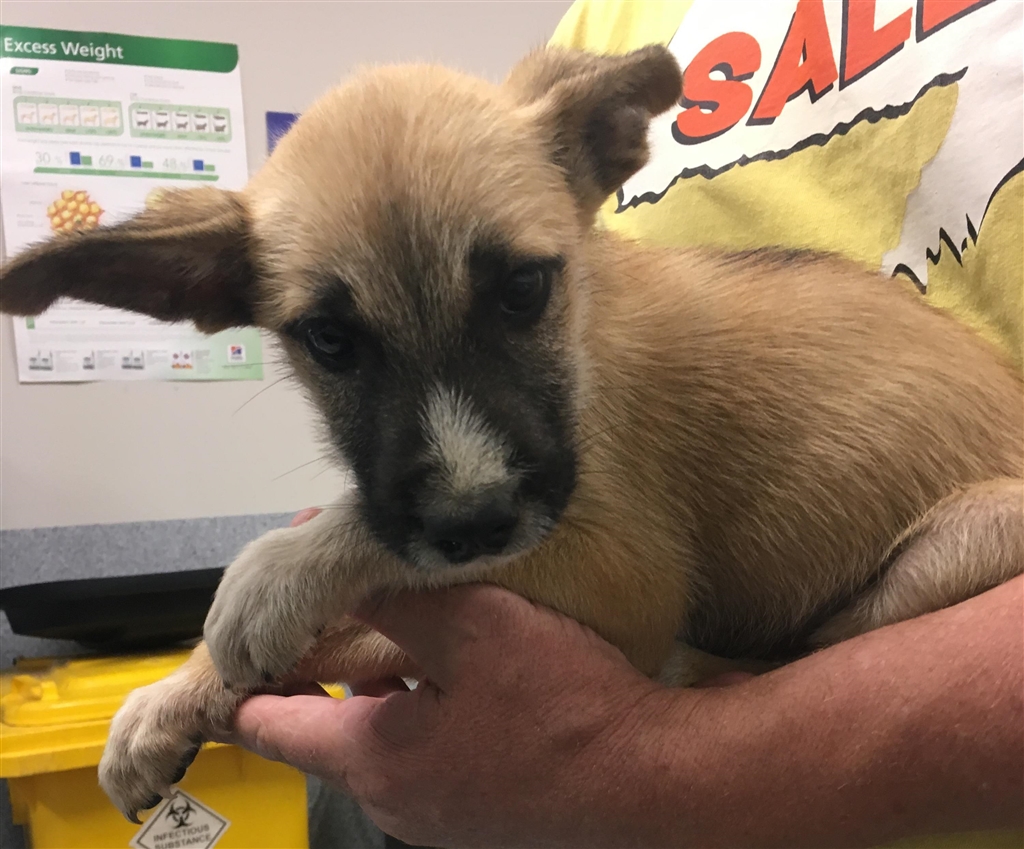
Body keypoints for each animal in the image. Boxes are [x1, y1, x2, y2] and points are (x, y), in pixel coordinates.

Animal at [2, 46, 1024, 823]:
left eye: (525, 289)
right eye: (329, 340)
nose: (476, 520)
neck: (585, 345)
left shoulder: (620, 578)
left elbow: (366, 588)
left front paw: (275, 581)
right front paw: (171, 697)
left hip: (959, 542)